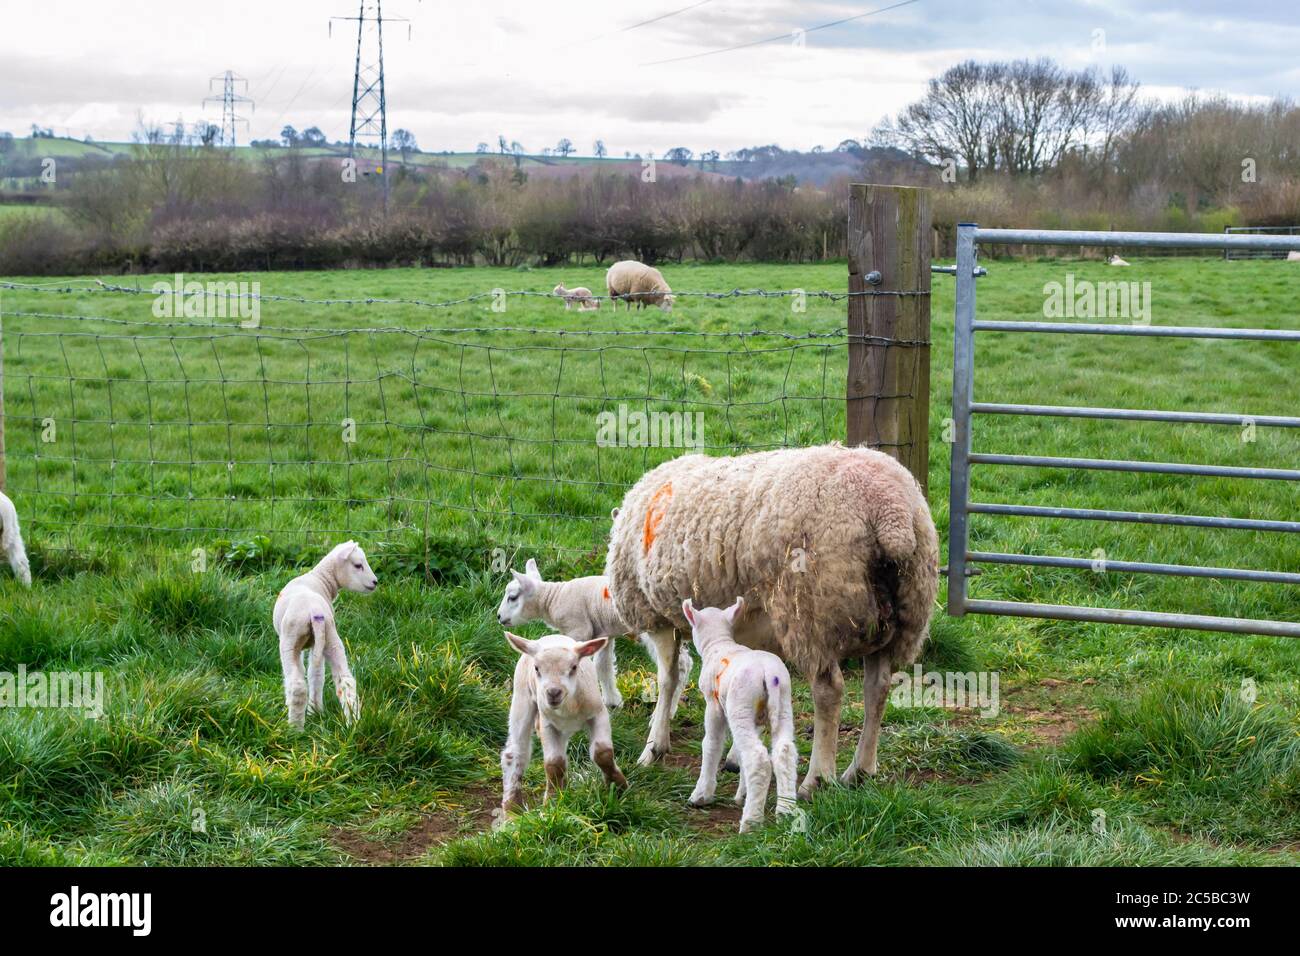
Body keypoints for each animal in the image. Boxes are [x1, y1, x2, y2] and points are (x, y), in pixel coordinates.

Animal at [272, 540, 378, 729]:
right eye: (358, 565)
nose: (375, 582)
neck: (321, 579)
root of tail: (314, 611)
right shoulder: (316, 643)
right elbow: (316, 673)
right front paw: (315, 710)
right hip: (330, 636)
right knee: (345, 681)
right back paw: (352, 723)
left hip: (290, 640)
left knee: (297, 685)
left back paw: (294, 728)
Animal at [496, 558, 693, 715]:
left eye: (512, 597)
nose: (498, 617)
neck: (552, 599)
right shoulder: (605, 633)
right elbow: (603, 667)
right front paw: (613, 701)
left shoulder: (579, 630)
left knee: (680, 666)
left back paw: (667, 711)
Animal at [500, 631, 628, 813]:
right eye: (537, 668)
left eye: (574, 667)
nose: (553, 692)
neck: (569, 708)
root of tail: (549, 636)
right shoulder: (547, 724)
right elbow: (554, 764)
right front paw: (553, 802)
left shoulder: (598, 714)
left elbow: (602, 753)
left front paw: (618, 786)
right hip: (522, 698)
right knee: (516, 752)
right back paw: (512, 808)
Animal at [606, 443, 939, 796]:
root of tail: (891, 512)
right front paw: (736, 756)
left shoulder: (655, 617)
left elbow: (667, 678)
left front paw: (654, 746)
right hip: (901, 619)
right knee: (877, 687)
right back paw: (859, 770)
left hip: (813, 614)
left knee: (829, 691)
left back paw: (817, 777)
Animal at [683, 597, 796, 832]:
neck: (720, 645)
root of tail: (768, 673)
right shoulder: (758, 720)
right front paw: (742, 793)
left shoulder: (713, 705)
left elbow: (711, 744)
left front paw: (701, 795)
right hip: (782, 705)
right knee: (784, 753)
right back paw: (786, 812)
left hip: (740, 706)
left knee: (758, 758)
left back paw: (751, 822)